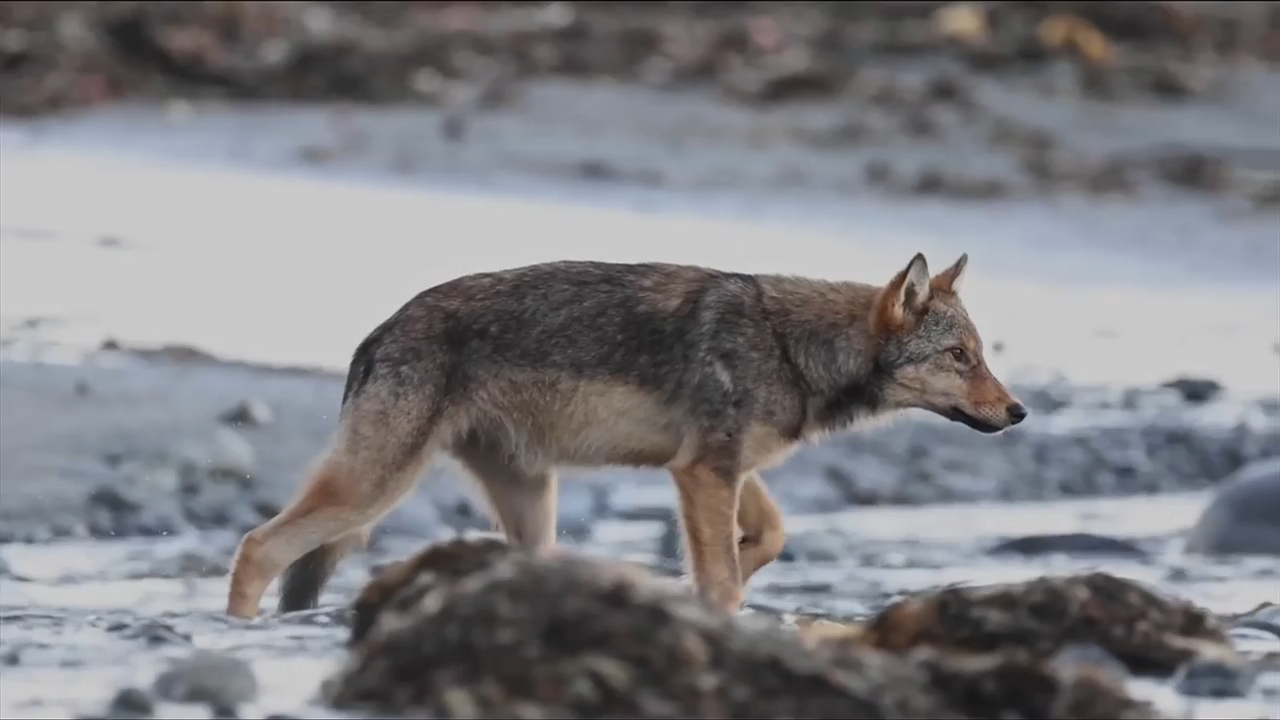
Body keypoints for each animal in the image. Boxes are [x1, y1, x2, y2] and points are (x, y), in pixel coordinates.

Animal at [225, 252, 1026, 619]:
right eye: (961, 357)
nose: (1018, 412)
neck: (791, 347)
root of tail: (376, 334)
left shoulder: (715, 469)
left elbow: (768, 538)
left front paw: (687, 588)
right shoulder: (704, 472)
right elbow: (726, 578)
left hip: (529, 503)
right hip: (374, 489)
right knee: (257, 546)